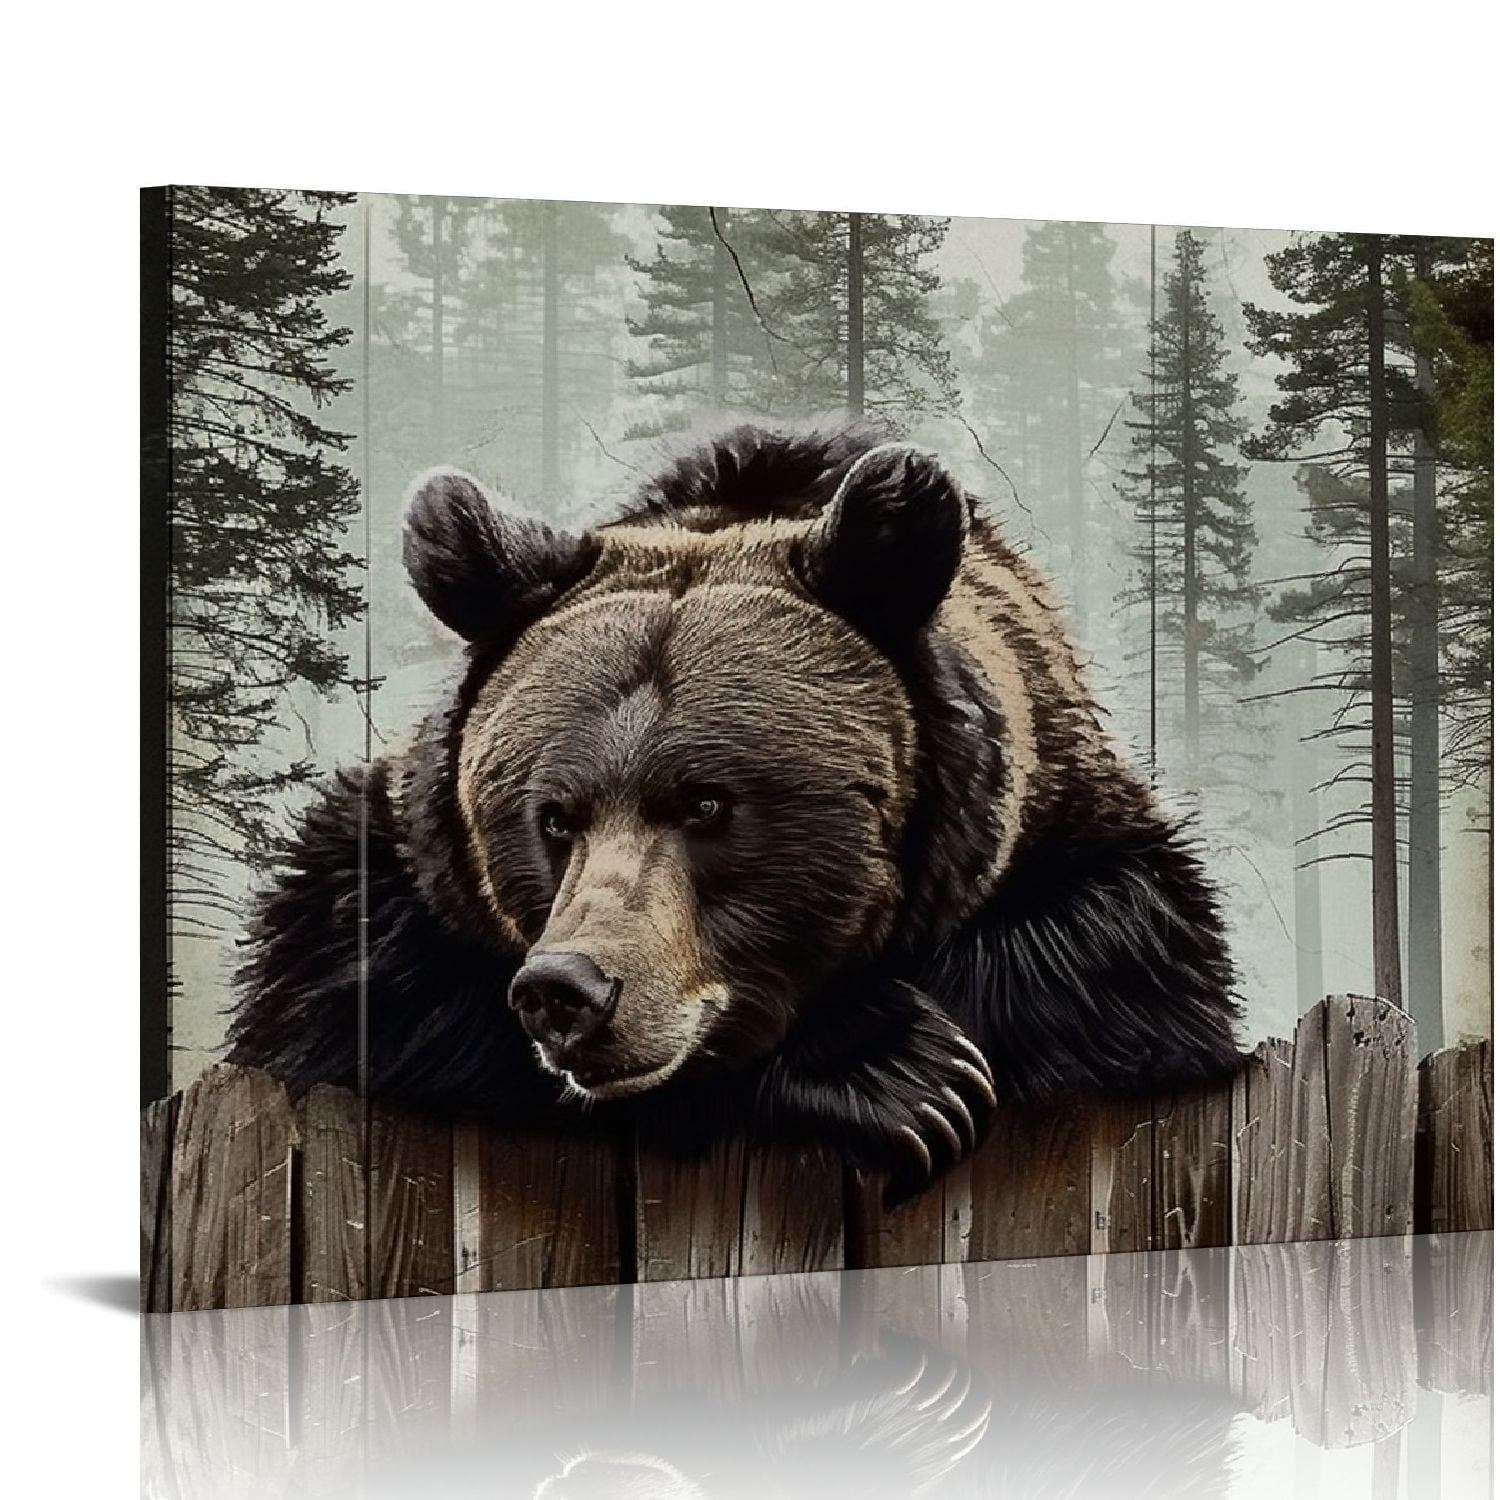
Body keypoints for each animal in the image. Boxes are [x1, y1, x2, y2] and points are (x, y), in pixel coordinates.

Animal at [227, 424, 1244, 1202]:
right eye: (553, 816)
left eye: (706, 802)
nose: (567, 991)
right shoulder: (395, 867)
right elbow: (347, 982)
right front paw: (896, 1068)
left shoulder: (1070, 835)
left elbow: (1119, 968)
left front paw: (923, 1065)